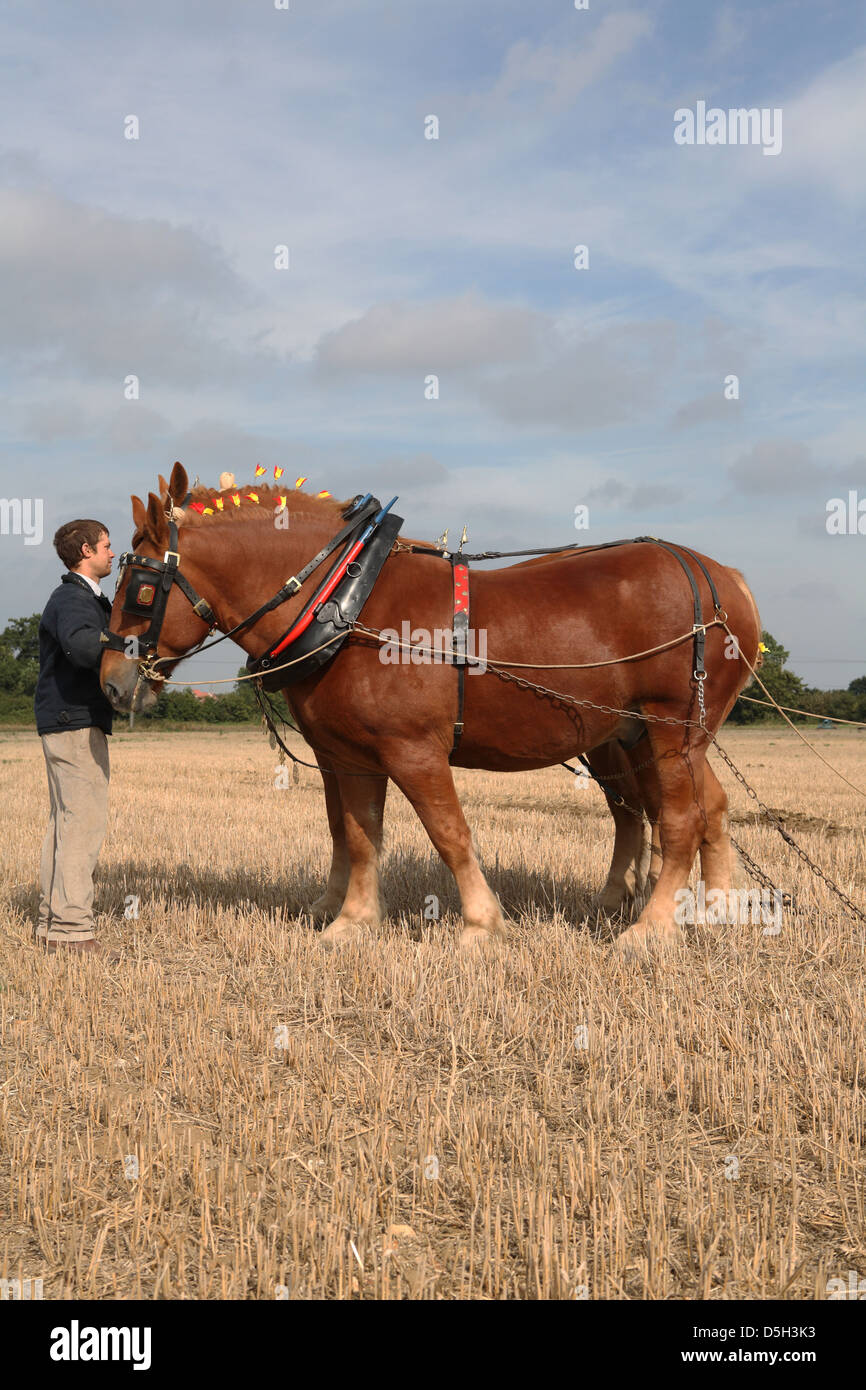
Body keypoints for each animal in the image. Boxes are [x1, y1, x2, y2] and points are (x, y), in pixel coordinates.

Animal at [100, 463, 761, 951]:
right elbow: (355, 834)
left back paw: (652, 926)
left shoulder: (413, 750)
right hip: (647, 737)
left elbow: (449, 833)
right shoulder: (348, 753)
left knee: (679, 818)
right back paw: (712, 909)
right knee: (698, 809)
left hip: (670, 728)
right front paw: (349, 920)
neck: (348, 600)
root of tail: (720, 577)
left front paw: (480, 924)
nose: (110, 682)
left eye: (141, 590)